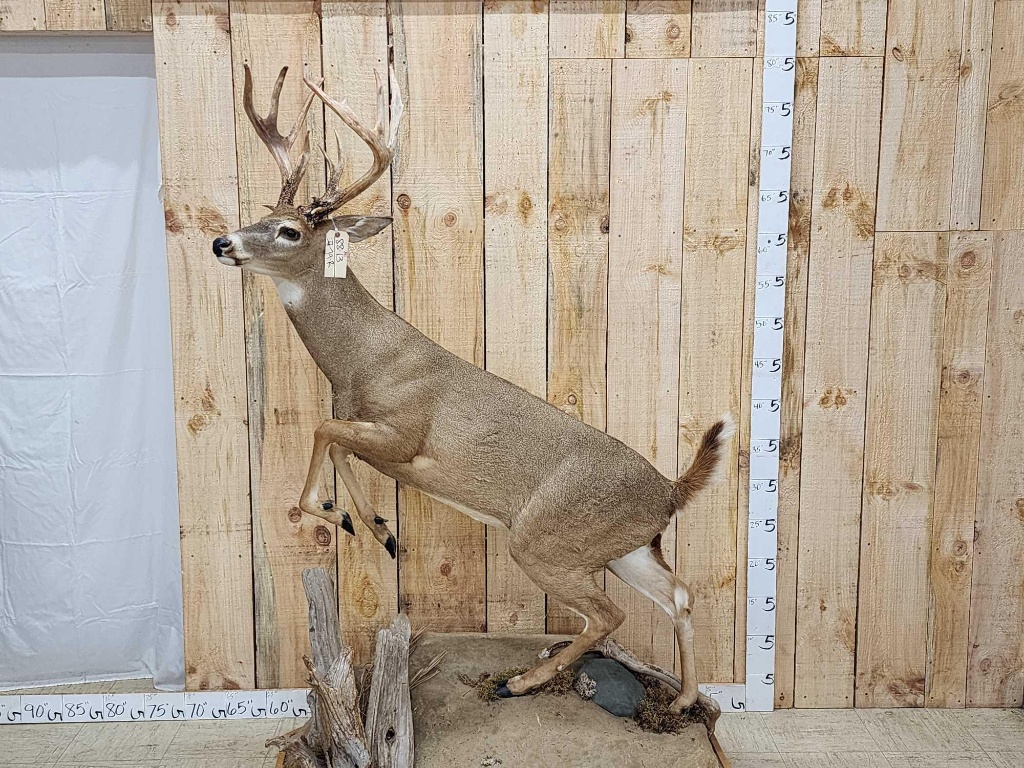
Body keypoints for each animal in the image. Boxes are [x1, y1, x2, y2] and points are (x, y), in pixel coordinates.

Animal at [211, 64, 734, 715]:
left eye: (288, 230)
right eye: (262, 213)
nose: (223, 243)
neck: (361, 362)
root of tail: (670, 492)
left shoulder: (406, 434)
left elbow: (323, 429)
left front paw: (336, 514)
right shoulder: (368, 428)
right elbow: (335, 441)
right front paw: (369, 525)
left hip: (544, 540)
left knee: (606, 615)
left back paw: (524, 680)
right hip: (628, 548)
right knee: (679, 595)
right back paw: (686, 699)